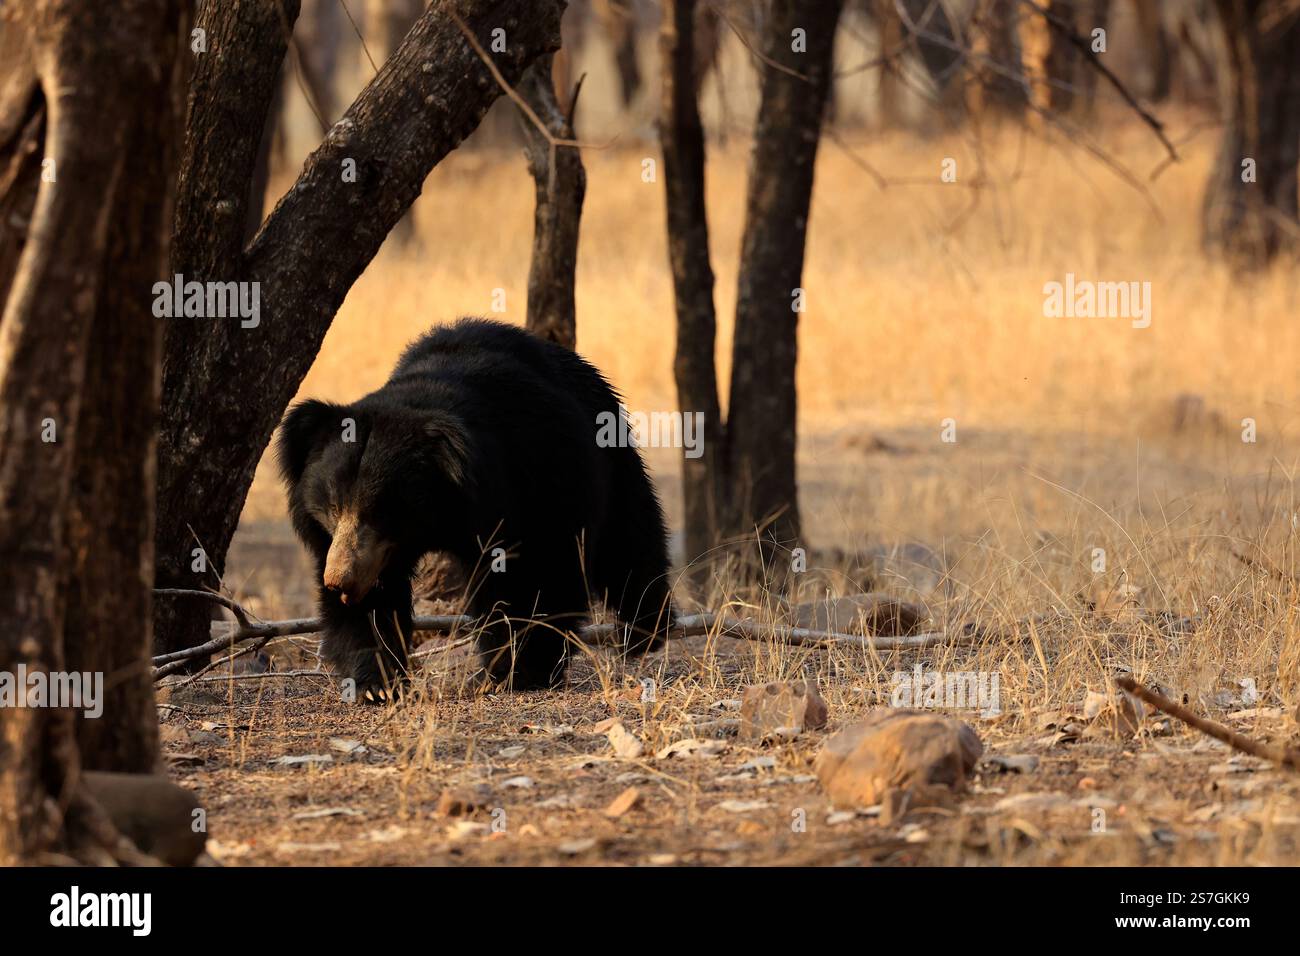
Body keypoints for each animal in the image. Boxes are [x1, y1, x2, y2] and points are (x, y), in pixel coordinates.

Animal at [275, 318, 676, 699]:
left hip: (611, 449)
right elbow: (374, 601)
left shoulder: (538, 478)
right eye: (332, 507)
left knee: (629, 539)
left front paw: (516, 672)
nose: (339, 580)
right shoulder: (370, 551)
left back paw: (646, 635)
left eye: (381, 511)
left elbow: (541, 570)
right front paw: (377, 685)